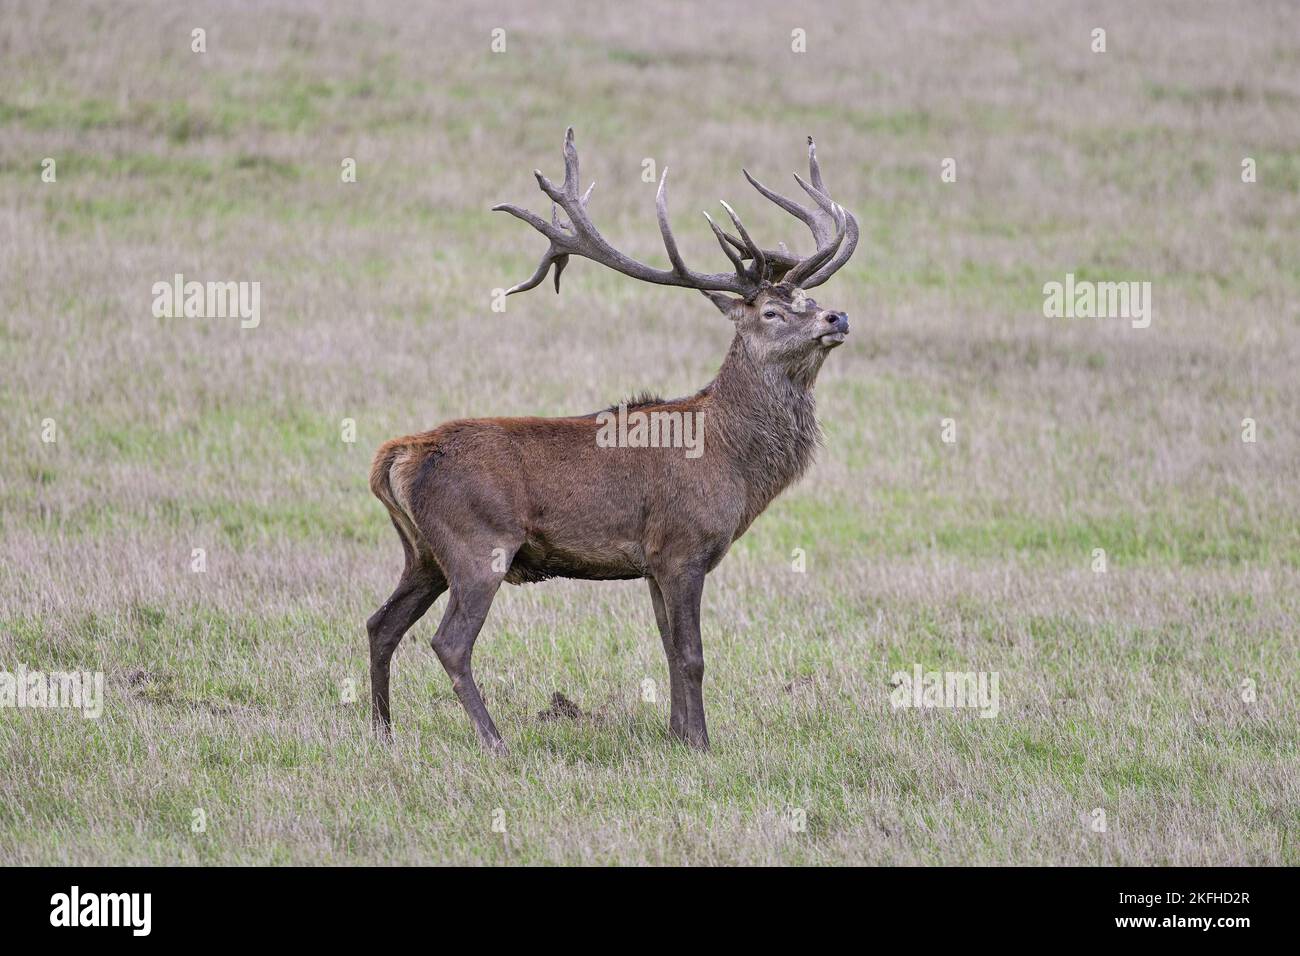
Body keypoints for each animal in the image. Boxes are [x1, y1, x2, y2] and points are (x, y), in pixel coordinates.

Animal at [367, 128, 858, 752]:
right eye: (772, 311)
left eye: (812, 301)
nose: (837, 317)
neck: (733, 462)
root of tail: (401, 454)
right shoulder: (681, 545)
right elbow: (693, 654)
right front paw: (701, 744)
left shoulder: (651, 563)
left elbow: (669, 650)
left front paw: (676, 734)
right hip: (478, 544)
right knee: (449, 642)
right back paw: (494, 740)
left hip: (424, 552)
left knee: (380, 624)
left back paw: (382, 732)